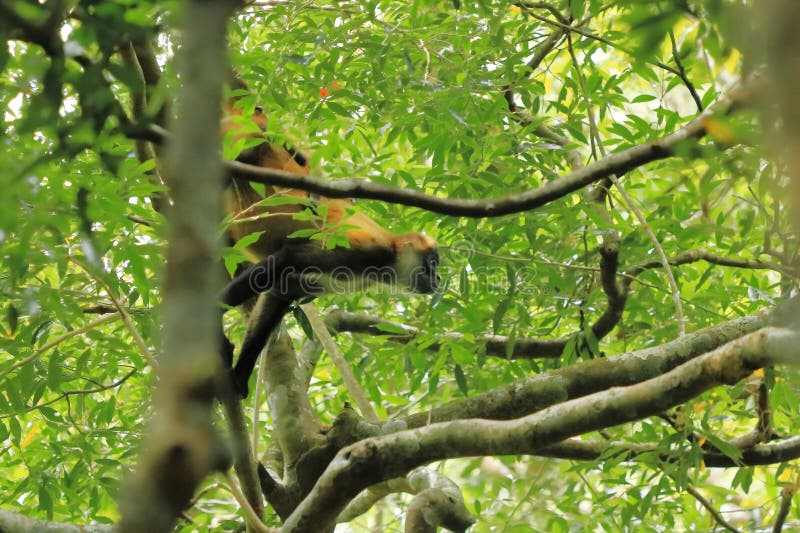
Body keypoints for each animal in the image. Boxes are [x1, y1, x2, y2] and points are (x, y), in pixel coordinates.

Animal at [219, 102, 440, 398]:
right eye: (432, 263)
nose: (438, 278)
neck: (389, 258)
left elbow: (282, 291)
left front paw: (239, 377)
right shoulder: (369, 251)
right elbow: (289, 258)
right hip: (241, 140)